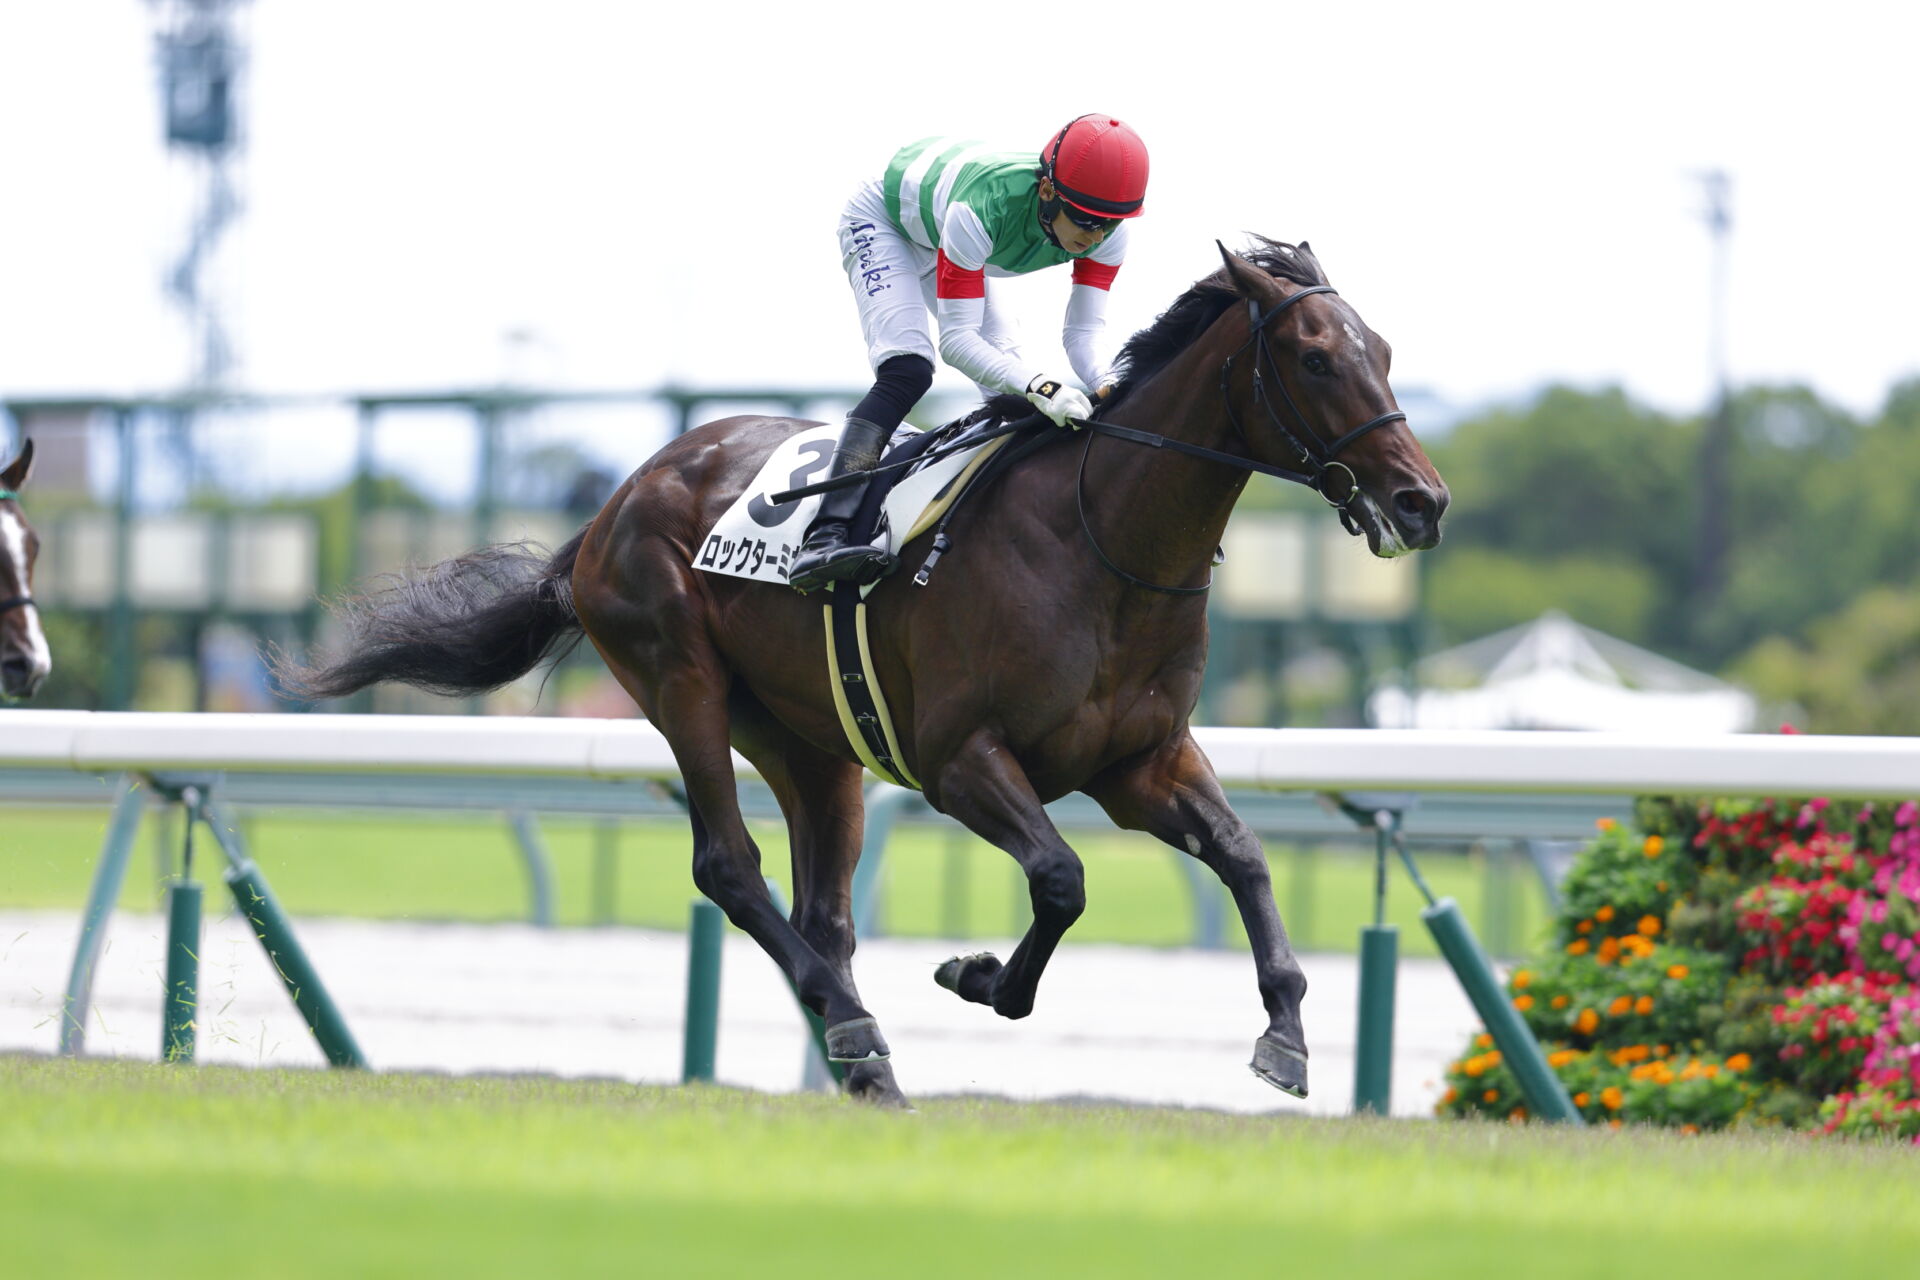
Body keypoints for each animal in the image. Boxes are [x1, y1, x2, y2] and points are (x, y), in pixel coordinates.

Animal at [279, 239, 1448, 1108]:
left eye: (1387, 349)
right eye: (1313, 355)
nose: (1422, 500)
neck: (1100, 542)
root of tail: (619, 498)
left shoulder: (1141, 762)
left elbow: (1243, 856)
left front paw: (1286, 1033)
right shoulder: (960, 760)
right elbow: (1061, 878)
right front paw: (980, 976)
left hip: (811, 740)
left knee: (822, 905)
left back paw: (858, 1053)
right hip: (680, 679)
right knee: (730, 867)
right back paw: (856, 1028)